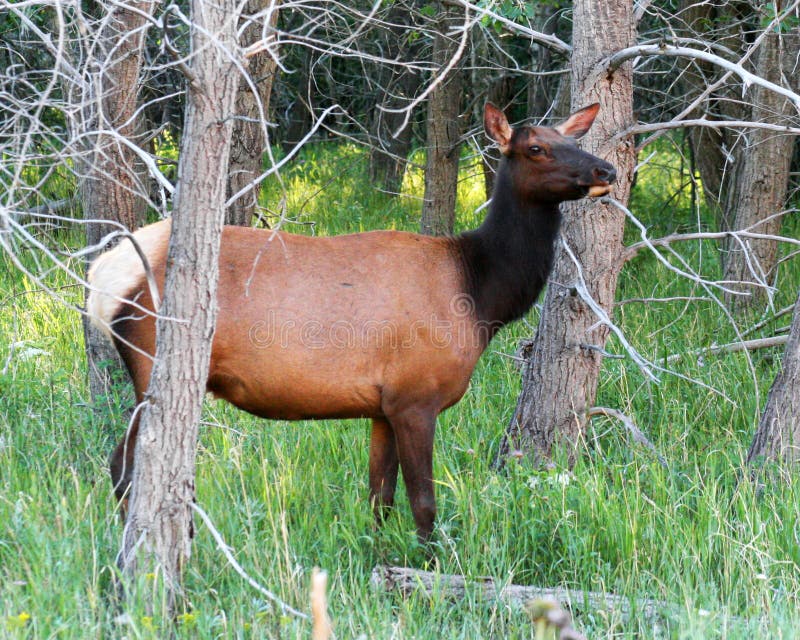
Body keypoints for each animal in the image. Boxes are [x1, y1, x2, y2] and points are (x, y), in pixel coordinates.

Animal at [87, 102, 616, 542]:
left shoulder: (382, 405)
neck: (481, 295)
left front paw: (380, 562)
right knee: (124, 465)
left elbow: (379, 499)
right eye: (536, 148)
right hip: (152, 363)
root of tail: (100, 279)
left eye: (572, 139)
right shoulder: (416, 396)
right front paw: (431, 570)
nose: (606, 169)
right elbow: (424, 504)